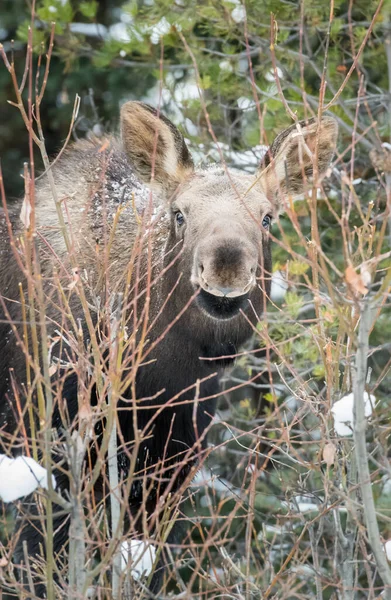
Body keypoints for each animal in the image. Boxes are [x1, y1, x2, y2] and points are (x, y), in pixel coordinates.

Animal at [0, 103, 336, 596]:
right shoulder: (49, 451)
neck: (157, 377)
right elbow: (40, 566)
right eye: (179, 214)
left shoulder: (174, 461)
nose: (226, 264)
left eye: (268, 217)